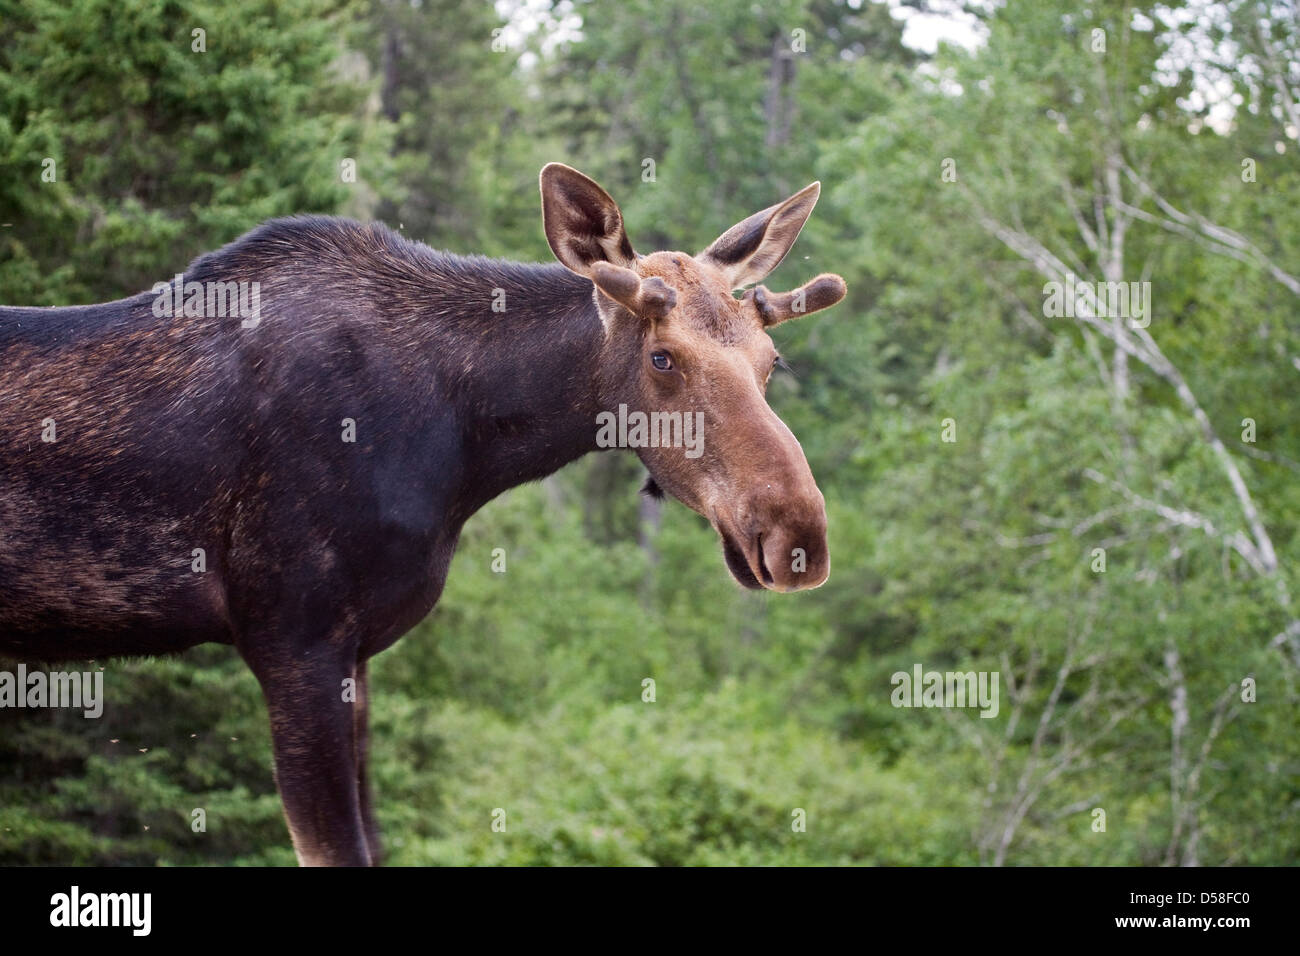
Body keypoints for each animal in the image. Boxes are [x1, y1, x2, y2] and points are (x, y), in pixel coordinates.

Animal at [0, 163, 847, 865]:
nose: (797, 534)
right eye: (662, 358)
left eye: (771, 362)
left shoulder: (357, 653)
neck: (462, 448)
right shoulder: (292, 637)